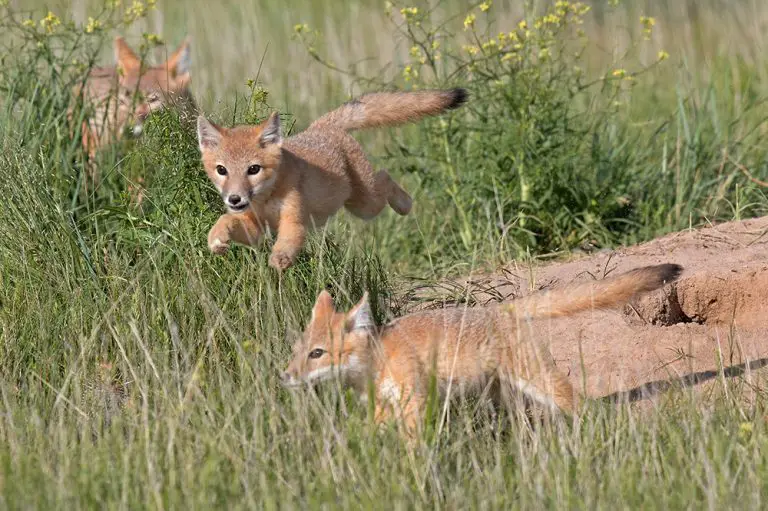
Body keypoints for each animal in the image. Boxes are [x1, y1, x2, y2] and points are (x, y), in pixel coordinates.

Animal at [196, 88, 467, 271]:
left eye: (253, 169)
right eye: (222, 170)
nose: (234, 198)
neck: (266, 200)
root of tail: (321, 126)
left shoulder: (294, 220)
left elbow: (288, 241)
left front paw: (280, 259)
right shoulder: (256, 228)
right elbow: (226, 220)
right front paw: (216, 238)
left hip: (365, 204)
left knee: (384, 176)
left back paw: (404, 204)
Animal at [281, 263, 683, 436]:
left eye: (317, 354)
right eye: (297, 351)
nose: (283, 376)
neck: (379, 362)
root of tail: (499, 309)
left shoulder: (415, 403)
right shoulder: (383, 408)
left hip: (541, 384)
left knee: (582, 406)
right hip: (501, 396)